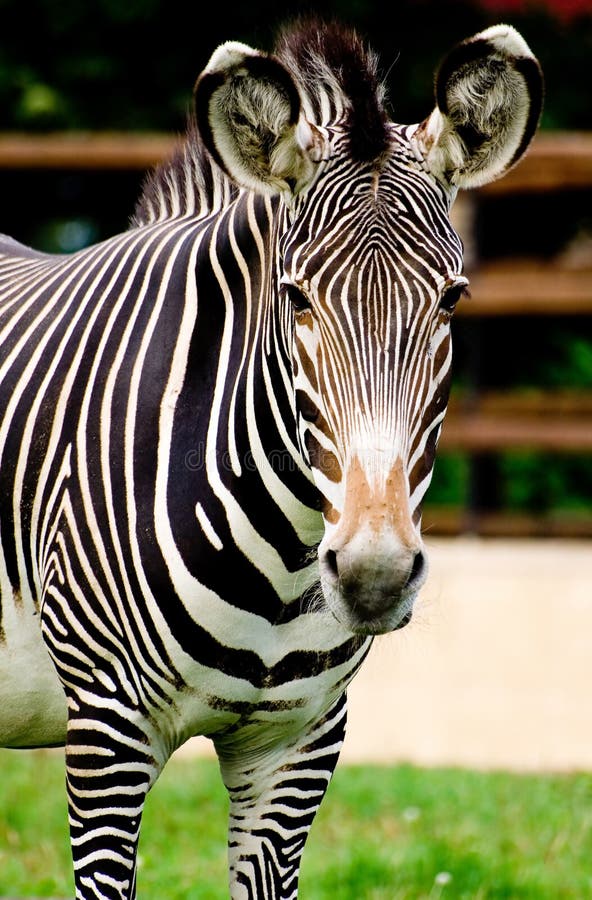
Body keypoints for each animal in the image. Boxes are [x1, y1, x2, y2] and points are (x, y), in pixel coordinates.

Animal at [0, 17, 542, 900]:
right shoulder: (108, 730)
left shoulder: (298, 743)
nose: (374, 576)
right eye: (293, 299)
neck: (283, 563)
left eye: (452, 300)